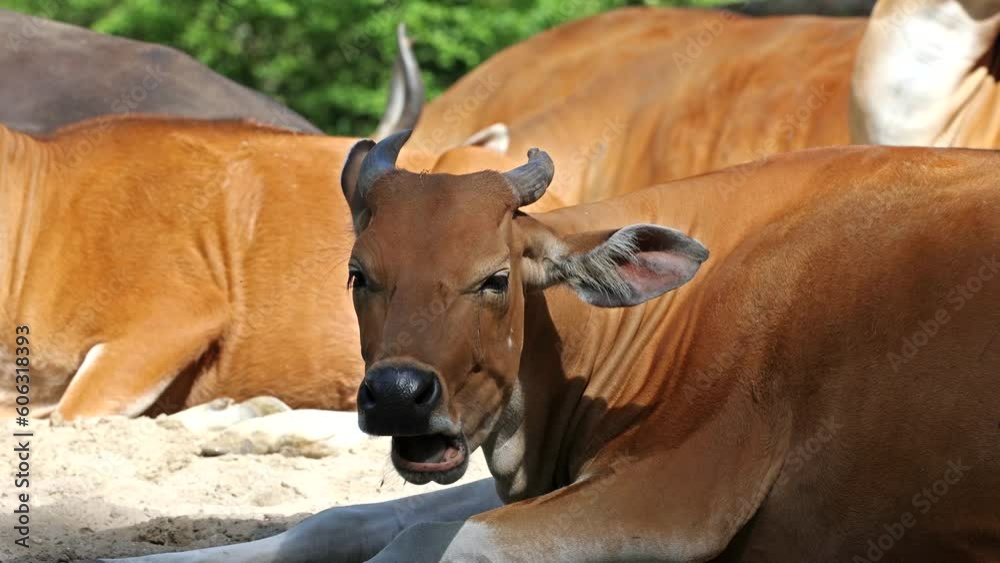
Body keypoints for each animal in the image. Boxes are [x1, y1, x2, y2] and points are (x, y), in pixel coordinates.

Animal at [99, 134, 1000, 562]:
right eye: (360, 273)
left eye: (495, 276)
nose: (398, 394)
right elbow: (337, 519)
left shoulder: (684, 489)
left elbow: (435, 543)